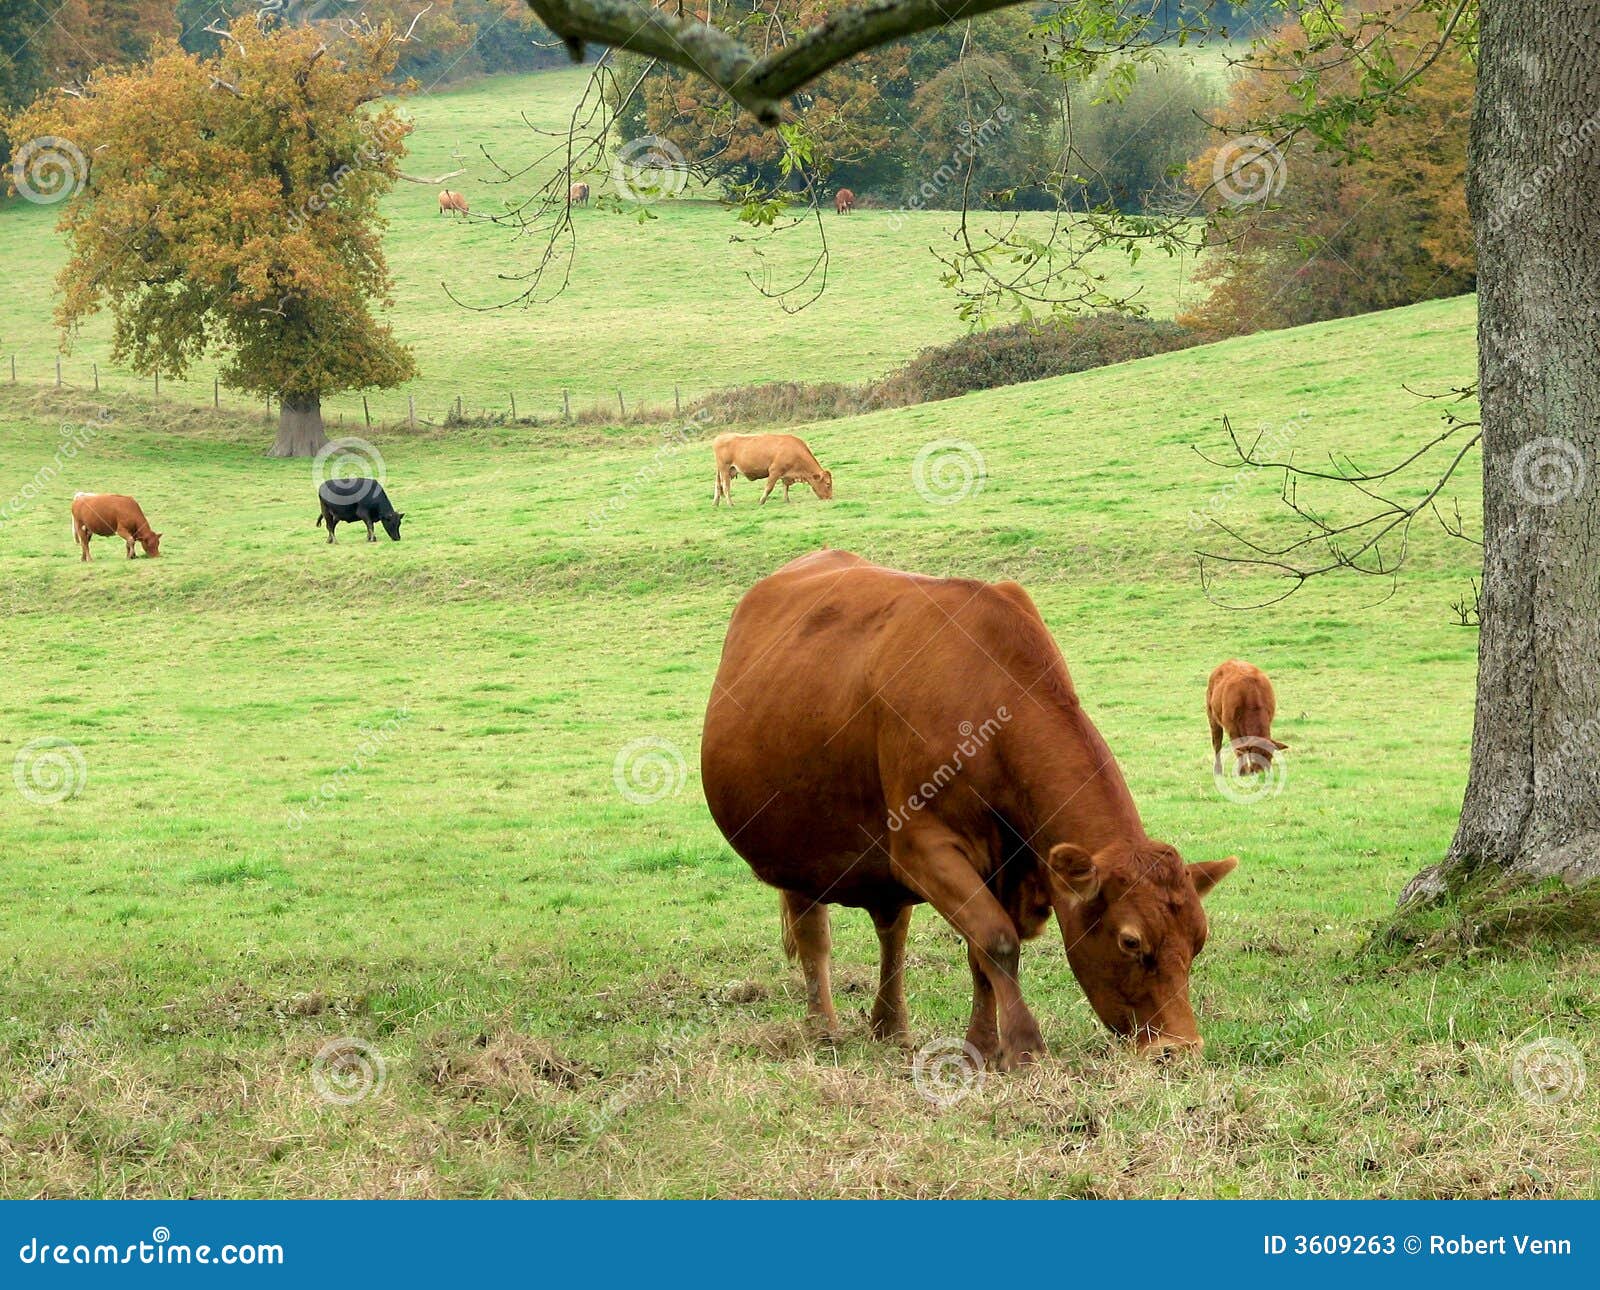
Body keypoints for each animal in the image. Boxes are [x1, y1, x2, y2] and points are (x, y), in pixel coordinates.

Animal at [701, 549, 1237, 1066]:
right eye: (1130, 941)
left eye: (1198, 940)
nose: (1179, 1050)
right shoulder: (923, 846)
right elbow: (997, 938)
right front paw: (1025, 1049)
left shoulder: (1003, 863)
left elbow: (982, 953)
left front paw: (982, 1046)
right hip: (796, 845)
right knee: (815, 934)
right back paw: (823, 1028)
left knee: (892, 932)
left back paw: (891, 1027)